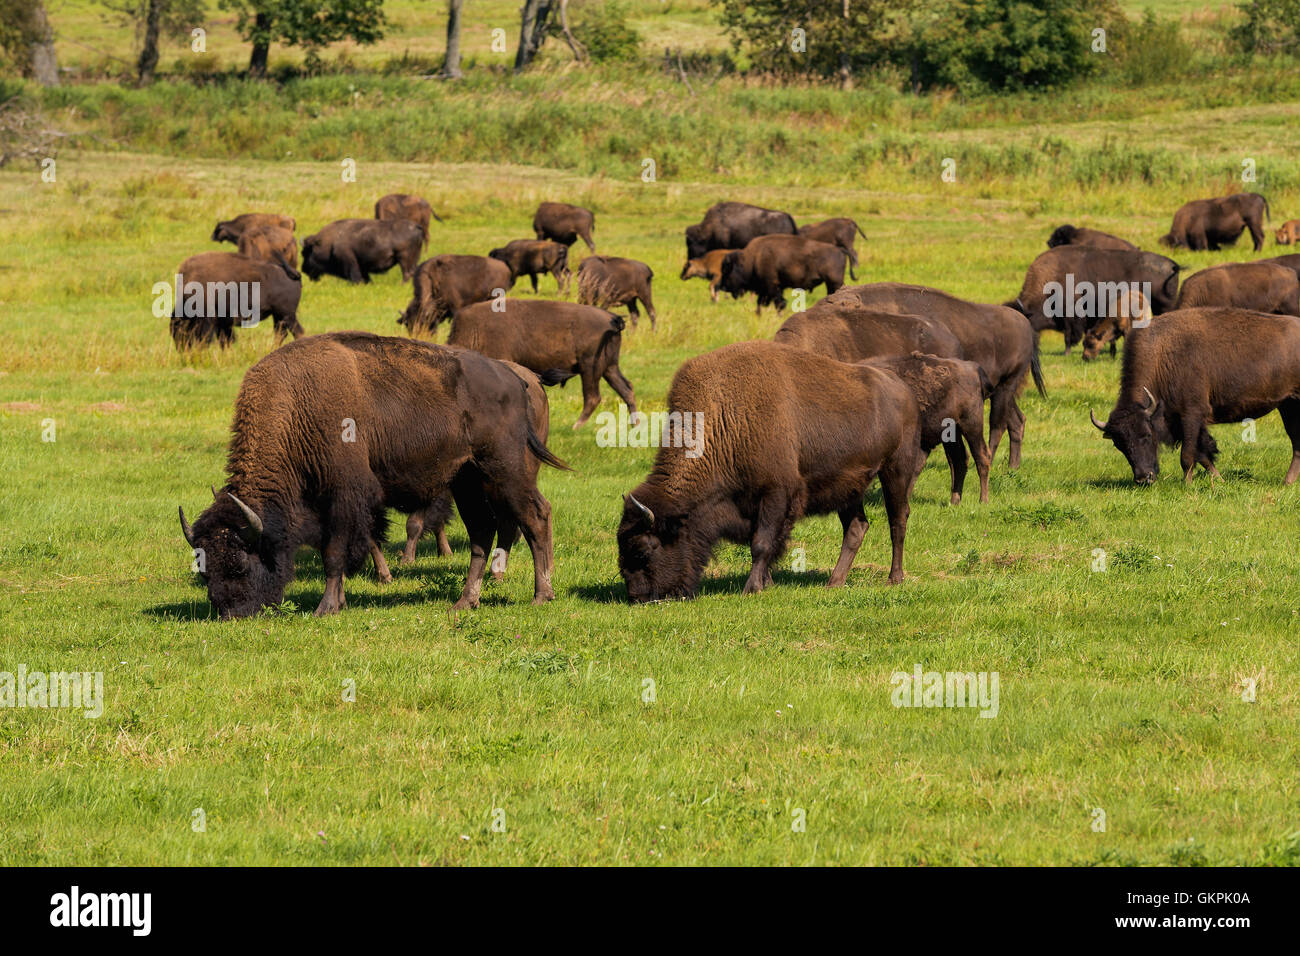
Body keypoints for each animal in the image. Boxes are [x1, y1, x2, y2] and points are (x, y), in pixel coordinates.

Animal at [178, 332, 565, 617]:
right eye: (205, 569)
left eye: (241, 563)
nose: (230, 613)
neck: (296, 409)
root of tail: (516, 378)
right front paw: (341, 601)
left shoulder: (344, 496)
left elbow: (335, 553)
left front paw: (326, 607)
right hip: (466, 481)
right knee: (482, 532)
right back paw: (465, 602)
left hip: (504, 472)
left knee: (535, 516)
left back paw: (541, 595)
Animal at [447, 299, 636, 428]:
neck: (476, 331)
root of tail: (613, 318)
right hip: (609, 368)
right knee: (626, 389)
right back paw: (634, 424)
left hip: (590, 367)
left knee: (593, 397)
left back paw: (575, 427)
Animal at [617, 341, 923, 601]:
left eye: (644, 549)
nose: (636, 596)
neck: (725, 418)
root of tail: (903, 389)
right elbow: (765, 541)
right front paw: (767, 583)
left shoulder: (776, 493)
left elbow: (762, 543)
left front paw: (752, 588)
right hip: (849, 487)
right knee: (856, 527)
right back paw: (834, 582)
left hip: (896, 469)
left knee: (898, 521)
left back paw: (894, 578)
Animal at [718, 235, 846, 314]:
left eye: (727, 271)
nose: (723, 286)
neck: (753, 259)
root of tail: (840, 250)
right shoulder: (767, 289)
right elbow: (761, 303)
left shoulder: (772, 285)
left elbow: (779, 303)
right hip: (831, 284)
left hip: (834, 282)